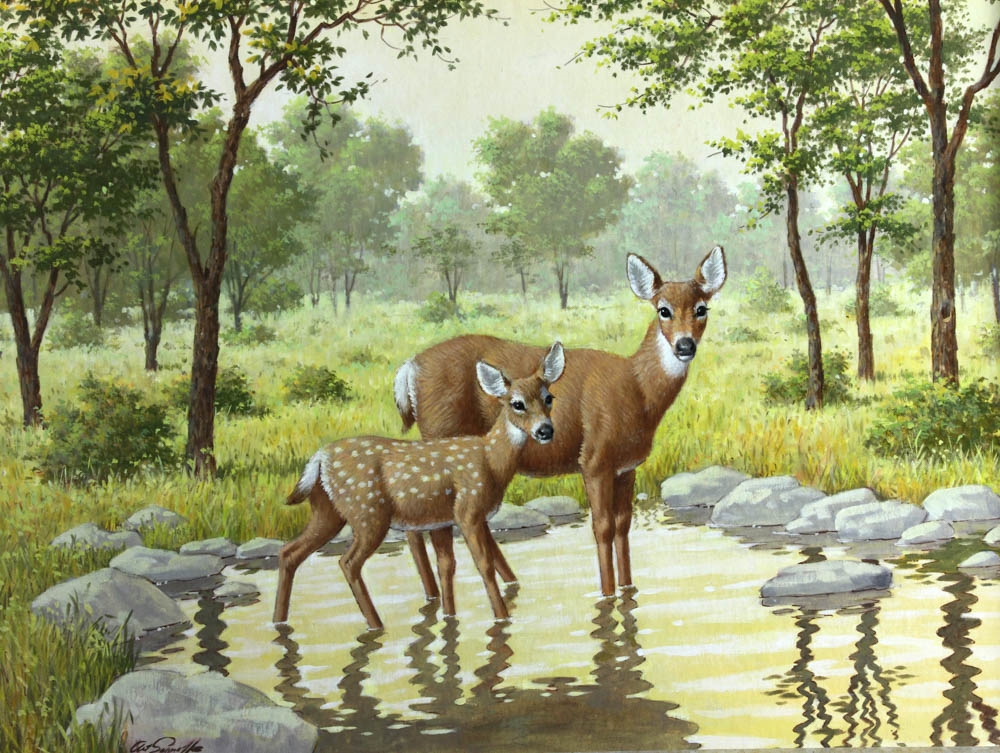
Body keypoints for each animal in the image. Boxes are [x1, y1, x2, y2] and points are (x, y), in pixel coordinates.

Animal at [273, 341, 566, 630]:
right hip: (368, 513)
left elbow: (449, 564)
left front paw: (451, 618)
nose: (545, 430)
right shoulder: (468, 509)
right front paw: (503, 618)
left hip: (328, 511)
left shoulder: (453, 517)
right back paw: (376, 625)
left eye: (548, 398)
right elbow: (482, 564)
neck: (490, 460)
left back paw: (279, 622)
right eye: (517, 403)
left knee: (289, 552)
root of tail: (319, 458)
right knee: (347, 562)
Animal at [393, 247, 727, 599]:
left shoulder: (627, 466)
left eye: (701, 308)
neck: (637, 389)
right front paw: (607, 595)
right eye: (663, 310)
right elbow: (602, 527)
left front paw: (627, 589)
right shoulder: (594, 459)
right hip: (441, 436)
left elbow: (623, 527)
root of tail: (409, 368)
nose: (685, 345)